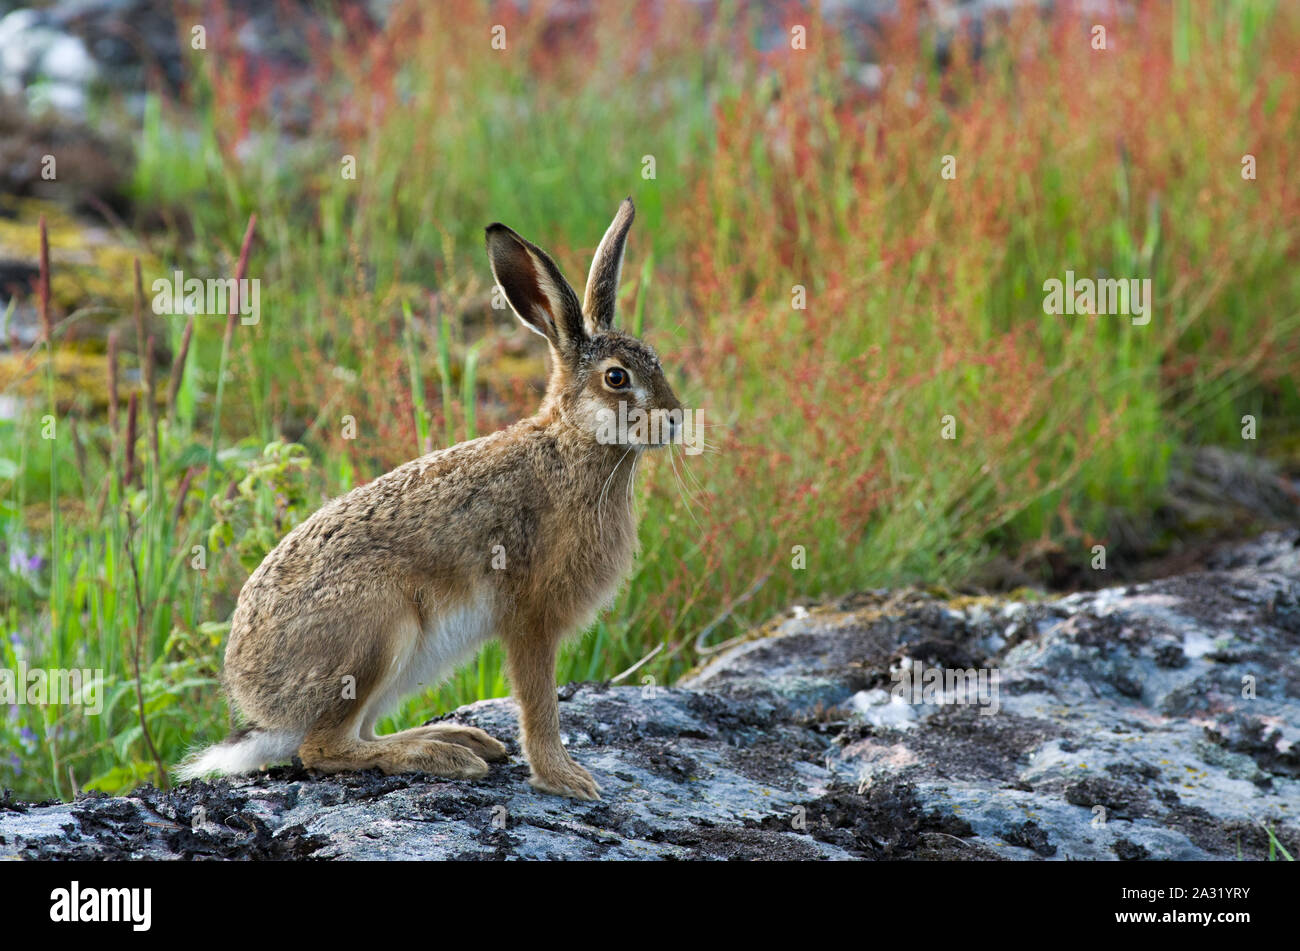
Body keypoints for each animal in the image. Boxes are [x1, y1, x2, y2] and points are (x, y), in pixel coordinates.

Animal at [177, 198, 681, 799]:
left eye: (654, 360)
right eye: (617, 378)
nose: (676, 420)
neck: (574, 442)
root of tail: (261, 707)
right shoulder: (530, 617)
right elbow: (539, 703)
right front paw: (565, 779)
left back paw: (460, 739)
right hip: (376, 627)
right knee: (322, 749)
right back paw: (442, 755)